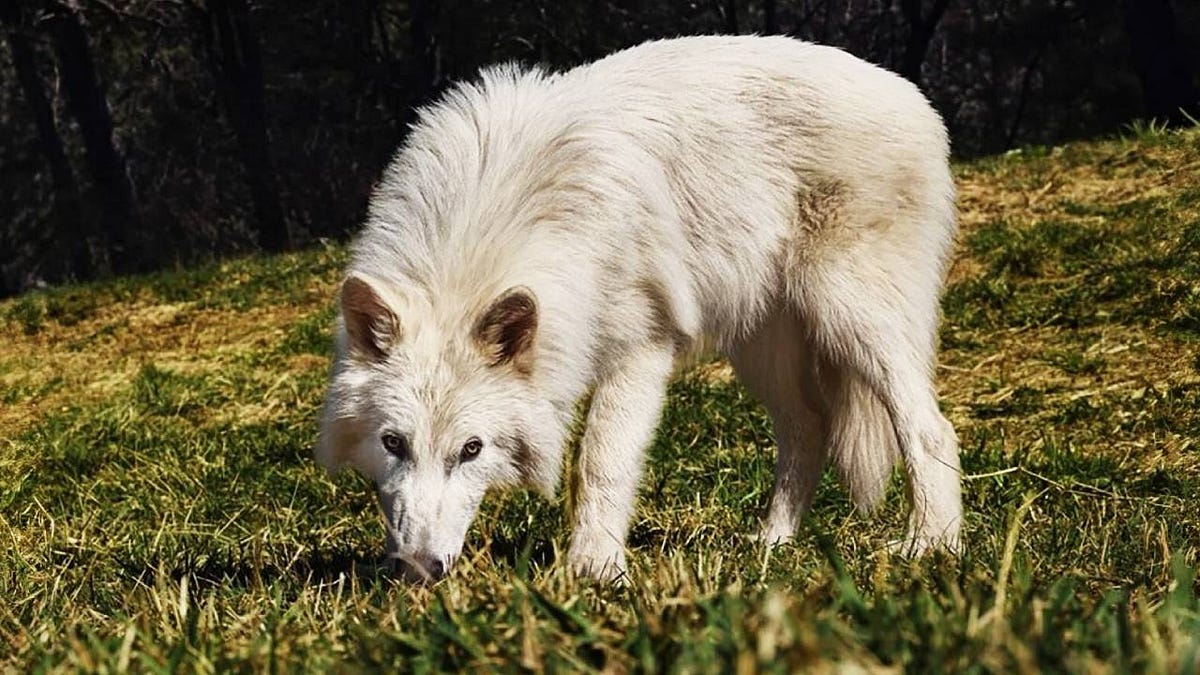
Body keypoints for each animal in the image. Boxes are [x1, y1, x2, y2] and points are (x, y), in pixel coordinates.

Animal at [316, 35, 962, 583]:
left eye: (471, 449)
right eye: (393, 443)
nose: (416, 570)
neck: (494, 221)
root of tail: (912, 96)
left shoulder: (640, 351)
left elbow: (600, 462)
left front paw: (595, 570)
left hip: (853, 319)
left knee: (930, 428)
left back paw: (932, 545)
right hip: (763, 349)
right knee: (809, 430)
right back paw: (773, 544)